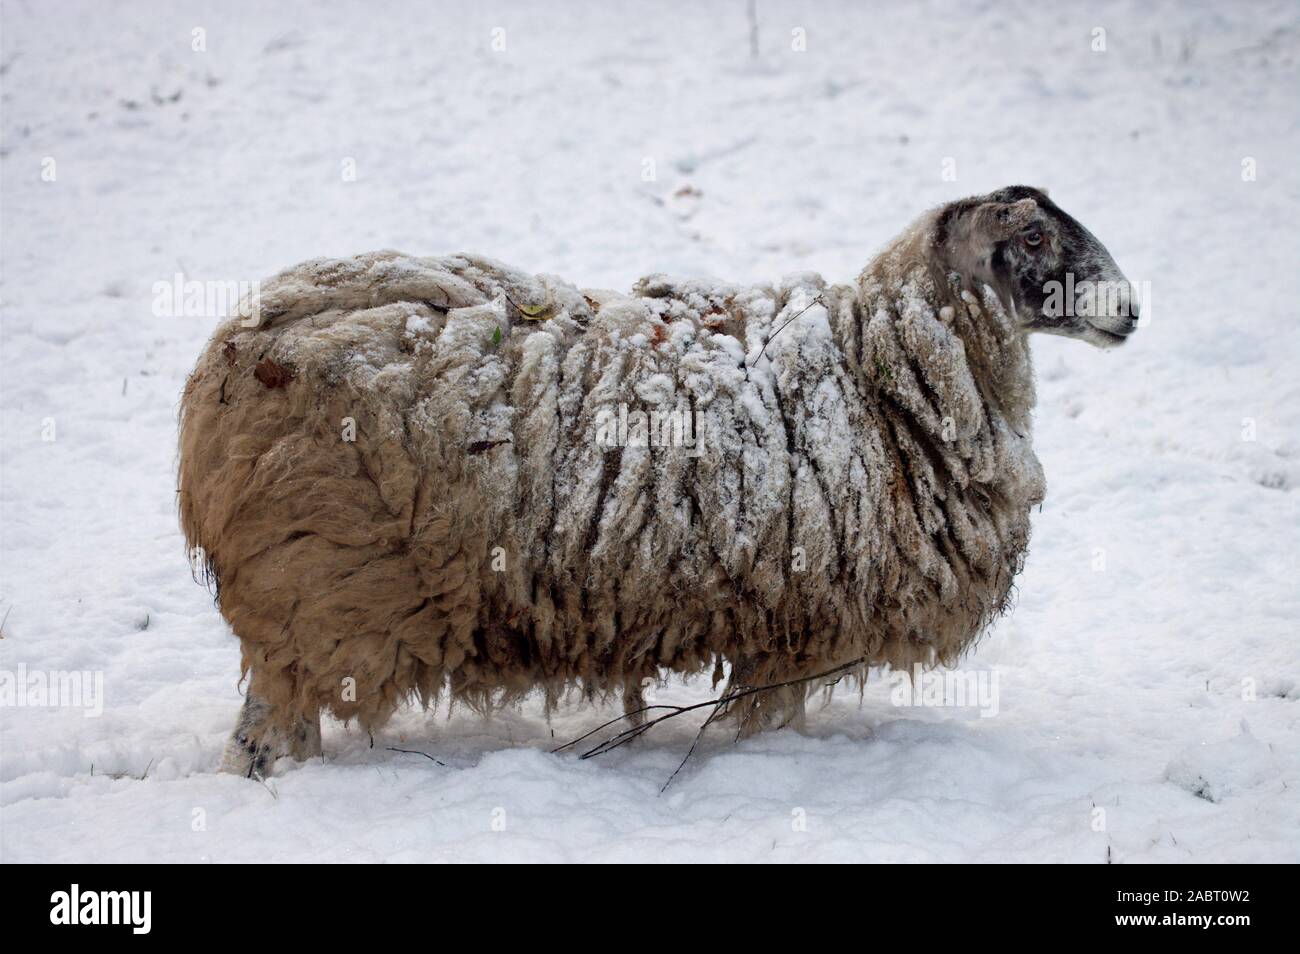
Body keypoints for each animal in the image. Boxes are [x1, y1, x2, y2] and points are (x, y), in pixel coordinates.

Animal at [178, 185, 1139, 777]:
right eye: (1033, 237)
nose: (1130, 310)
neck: (881, 367)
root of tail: (239, 342)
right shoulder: (798, 621)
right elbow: (764, 719)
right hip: (323, 589)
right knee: (263, 731)